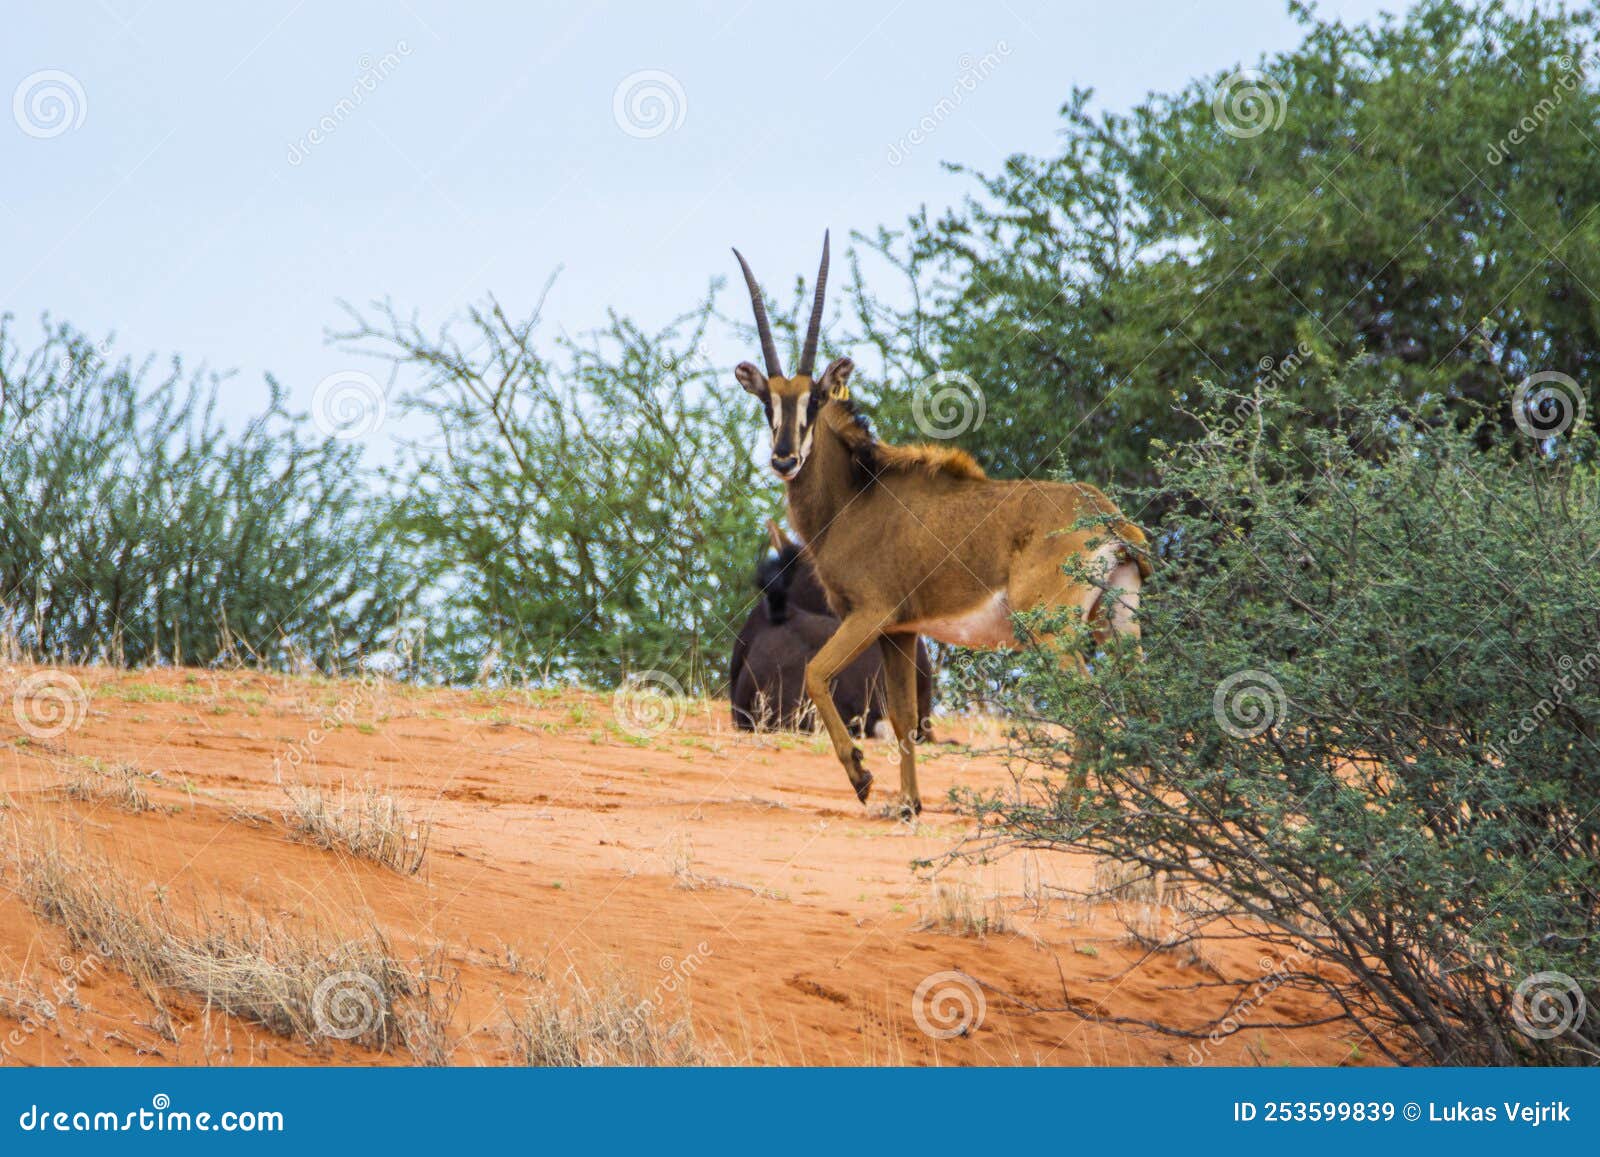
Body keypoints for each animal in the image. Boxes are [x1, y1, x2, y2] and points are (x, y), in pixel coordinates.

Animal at [731, 233, 1151, 815]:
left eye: (814, 400)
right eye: (766, 401)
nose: (785, 458)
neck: (856, 494)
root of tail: (1111, 522)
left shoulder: (869, 615)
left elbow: (817, 674)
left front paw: (863, 779)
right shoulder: (900, 632)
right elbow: (904, 716)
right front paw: (909, 805)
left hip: (1052, 631)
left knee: (1091, 705)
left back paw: (1070, 809)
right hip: (1118, 624)